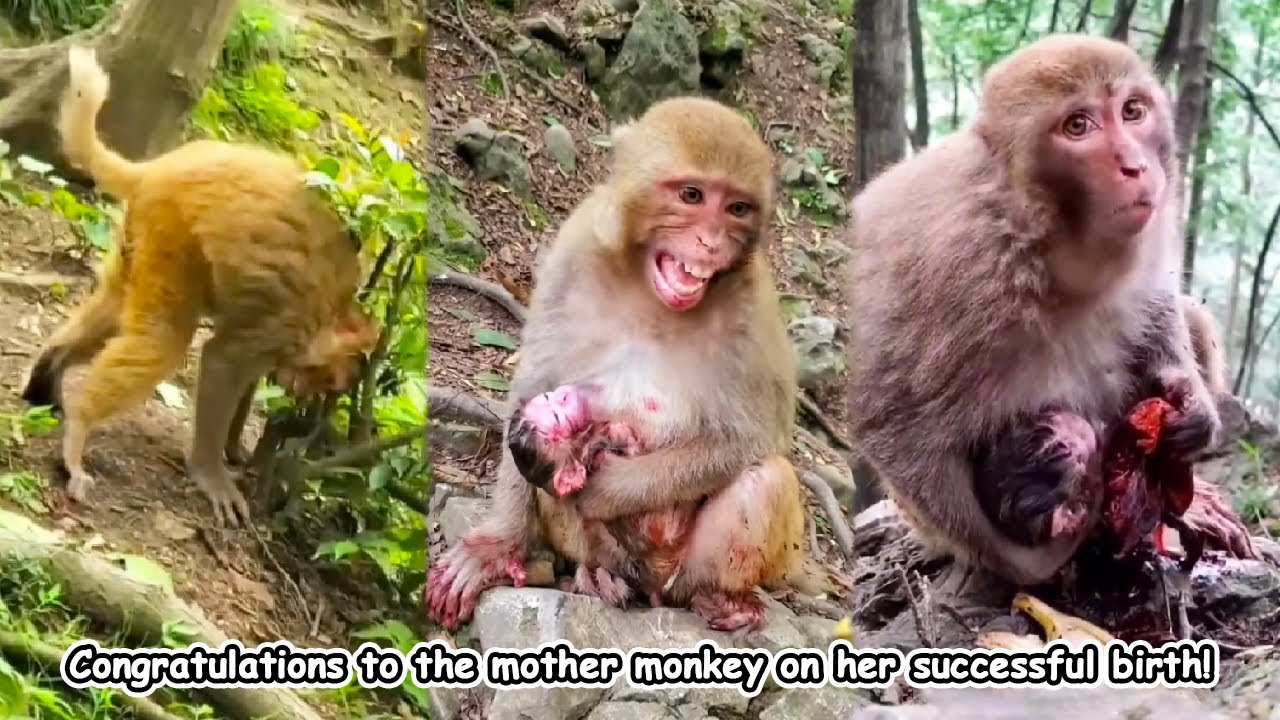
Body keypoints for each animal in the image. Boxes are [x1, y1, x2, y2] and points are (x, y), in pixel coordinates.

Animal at [21, 46, 379, 526]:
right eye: (326, 379)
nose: (302, 390)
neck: (333, 313)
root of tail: (159, 167)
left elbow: (245, 372)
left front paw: (234, 446)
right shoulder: (290, 322)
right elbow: (222, 362)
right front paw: (212, 470)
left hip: (142, 229)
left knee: (117, 305)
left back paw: (50, 370)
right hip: (172, 227)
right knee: (164, 339)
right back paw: (79, 428)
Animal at [425, 96, 828, 632]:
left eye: (737, 209)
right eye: (692, 196)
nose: (711, 242)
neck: (650, 293)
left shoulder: (754, 309)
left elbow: (751, 439)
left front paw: (606, 488)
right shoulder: (573, 253)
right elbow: (530, 387)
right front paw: (497, 545)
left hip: (684, 574)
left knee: (766, 479)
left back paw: (720, 600)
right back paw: (599, 576)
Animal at [844, 34, 1252, 594]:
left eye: (1132, 111)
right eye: (1078, 126)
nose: (1134, 165)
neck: (1046, 243)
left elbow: (1161, 301)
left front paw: (1189, 403)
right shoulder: (954, 264)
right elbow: (890, 419)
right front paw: (1029, 562)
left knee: (1192, 316)